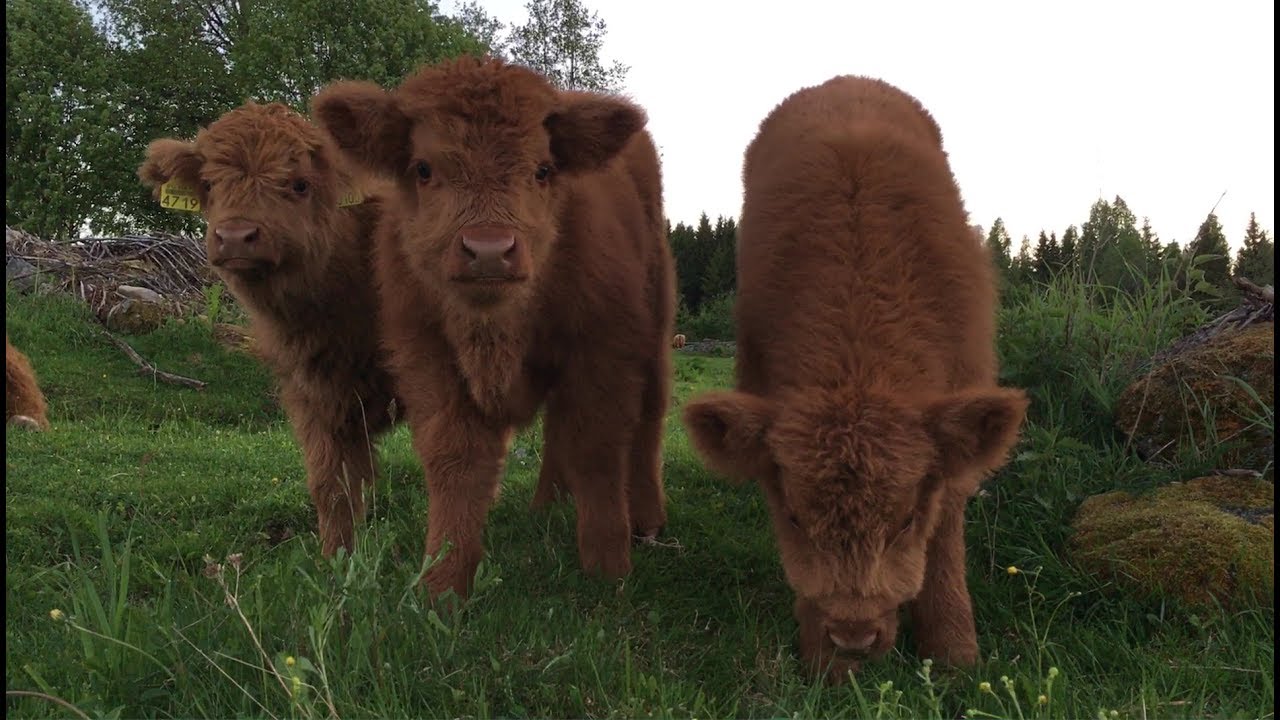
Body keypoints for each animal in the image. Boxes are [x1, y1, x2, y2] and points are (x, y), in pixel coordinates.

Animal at [138, 102, 401, 558]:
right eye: (208, 183)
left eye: (299, 184)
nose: (235, 236)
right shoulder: (312, 395)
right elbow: (332, 487)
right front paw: (338, 560)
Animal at [312, 56, 676, 600]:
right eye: (424, 169)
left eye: (542, 170)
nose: (488, 250)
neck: (494, 334)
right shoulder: (429, 358)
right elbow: (456, 461)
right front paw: (442, 583)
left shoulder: (602, 353)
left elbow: (597, 450)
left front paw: (608, 569)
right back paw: (546, 503)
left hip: (654, 332)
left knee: (648, 418)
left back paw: (647, 518)